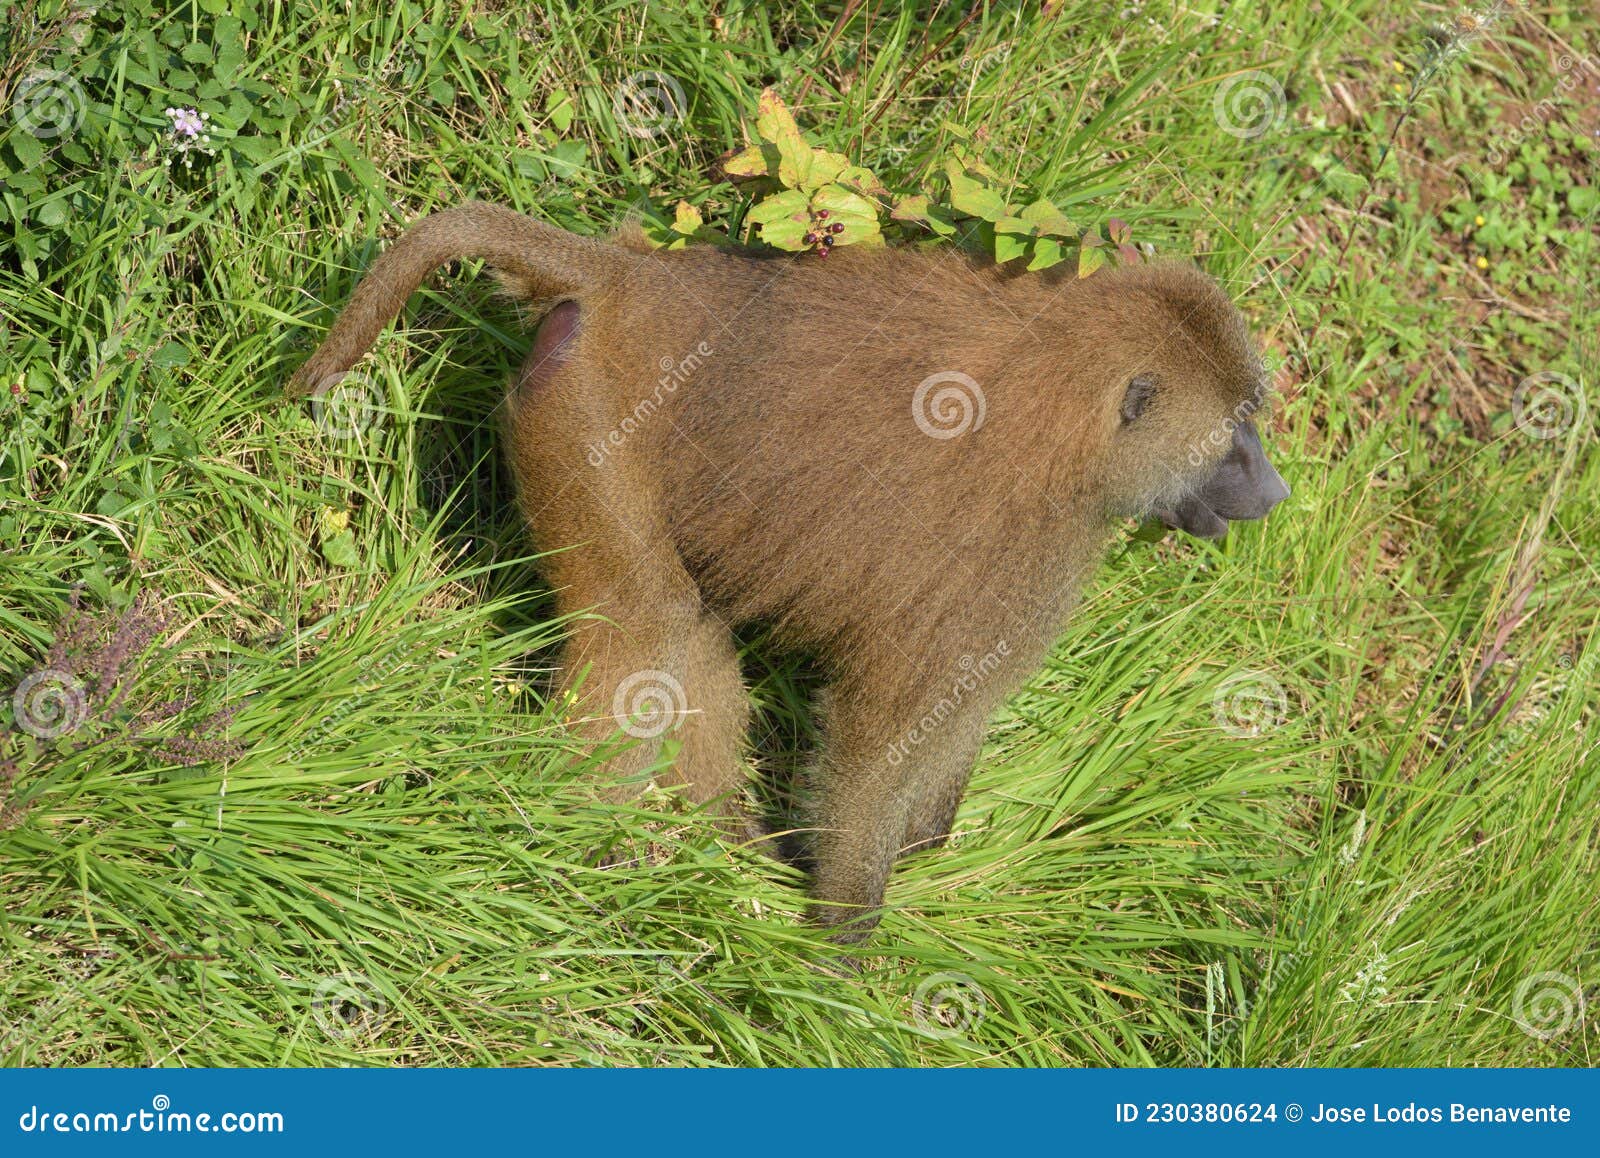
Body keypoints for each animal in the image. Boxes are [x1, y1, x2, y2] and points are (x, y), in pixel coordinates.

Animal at [291, 201, 1290, 944]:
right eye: (1237, 425)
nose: (1275, 490)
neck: (1071, 408)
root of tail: (632, 278)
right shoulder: (1010, 555)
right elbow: (883, 738)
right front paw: (846, 949)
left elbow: (953, 715)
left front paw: (924, 847)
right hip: (587, 421)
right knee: (646, 626)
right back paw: (570, 857)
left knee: (684, 624)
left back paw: (722, 843)